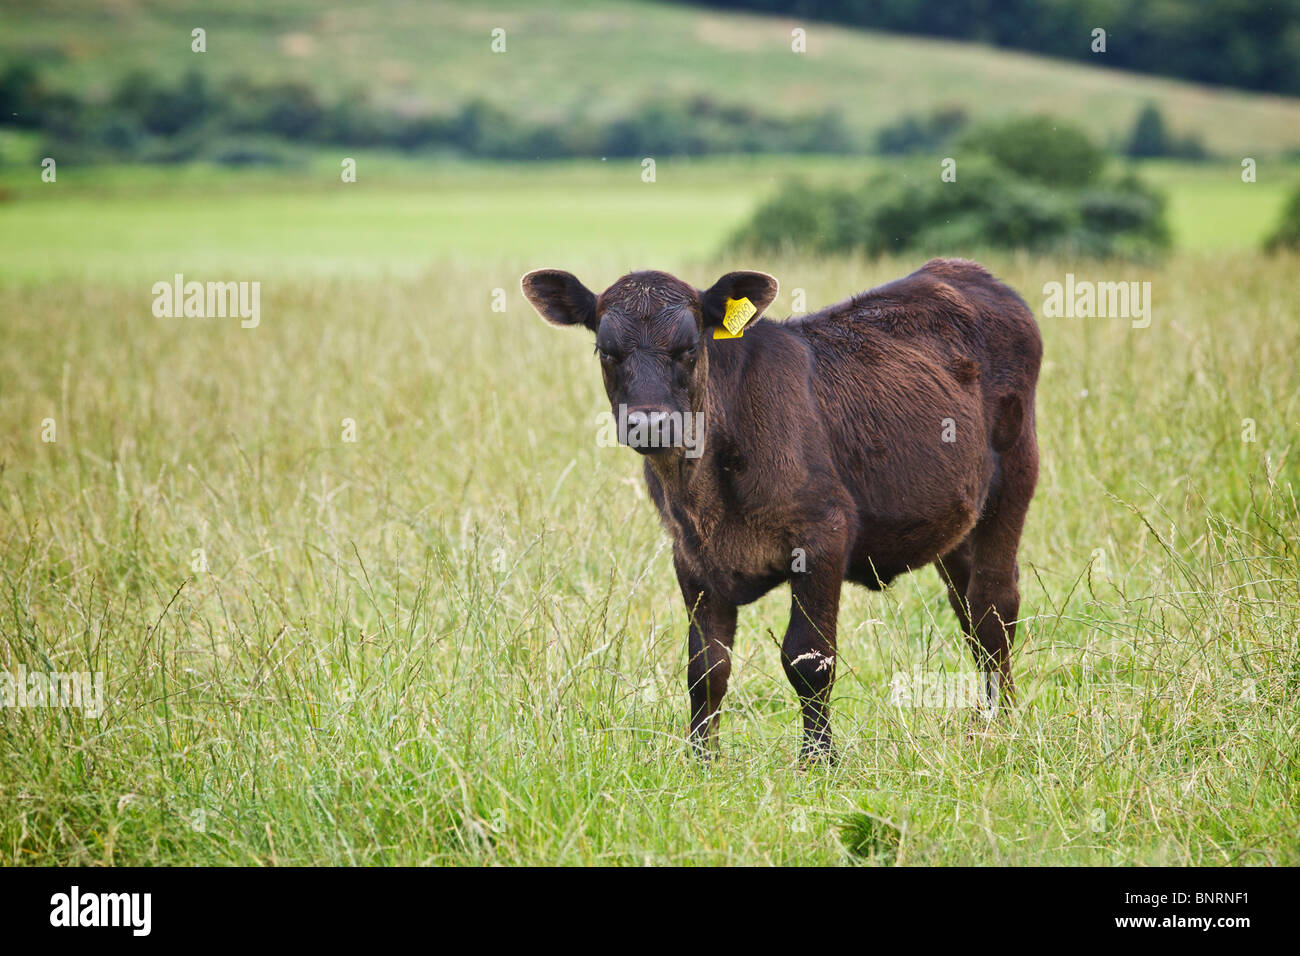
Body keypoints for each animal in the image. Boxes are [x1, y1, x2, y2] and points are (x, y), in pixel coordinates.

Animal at [521, 258, 1041, 761]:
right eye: (607, 351)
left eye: (688, 348)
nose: (651, 424)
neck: (705, 493)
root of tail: (962, 270)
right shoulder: (689, 555)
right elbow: (705, 666)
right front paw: (701, 759)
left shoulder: (823, 535)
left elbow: (808, 658)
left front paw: (818, 758)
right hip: (957, 519)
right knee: (967, 609)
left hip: (1014, 479)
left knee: (993, 605)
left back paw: (1001, 723)